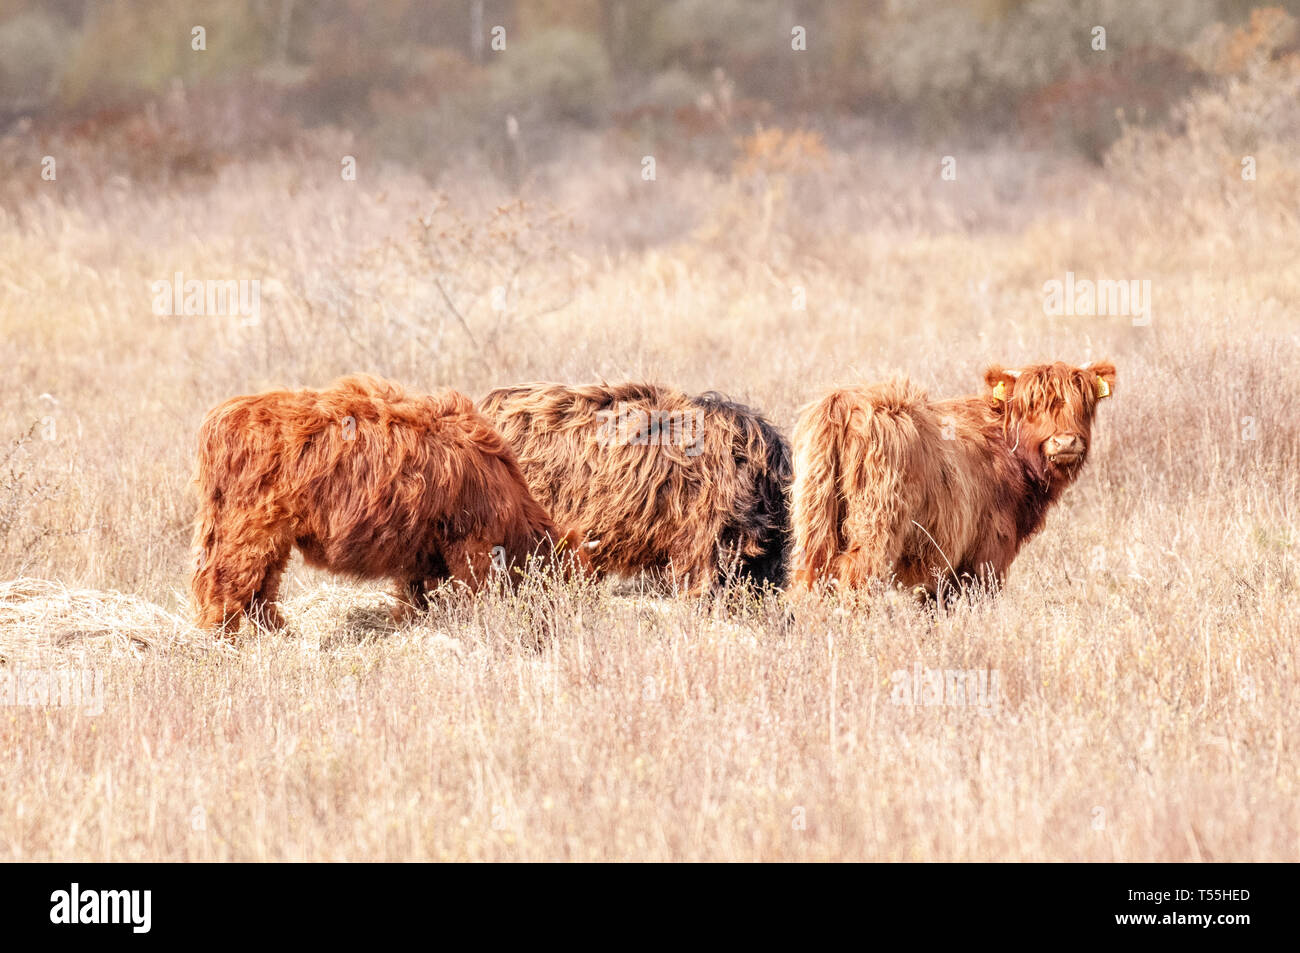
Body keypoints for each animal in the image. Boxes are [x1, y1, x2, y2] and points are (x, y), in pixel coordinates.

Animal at [190, 374, 593, 637]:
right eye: (567, 581)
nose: (572, 620)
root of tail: (225, 415)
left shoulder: (424, 551)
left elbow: (420, 593)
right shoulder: (471, 544)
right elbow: (470, 590)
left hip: (271, 538)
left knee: (260, 591)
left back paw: (282, 636)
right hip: (248, 532)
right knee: (226, 586)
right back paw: (223, 644)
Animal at [790, 360, 1116, 596]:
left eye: (1084, 405)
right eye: (1032, 405)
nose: (1065, 442)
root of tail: (843, 401)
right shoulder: (986, 556)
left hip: (815, 526)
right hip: (875, 527)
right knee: (856, 577)